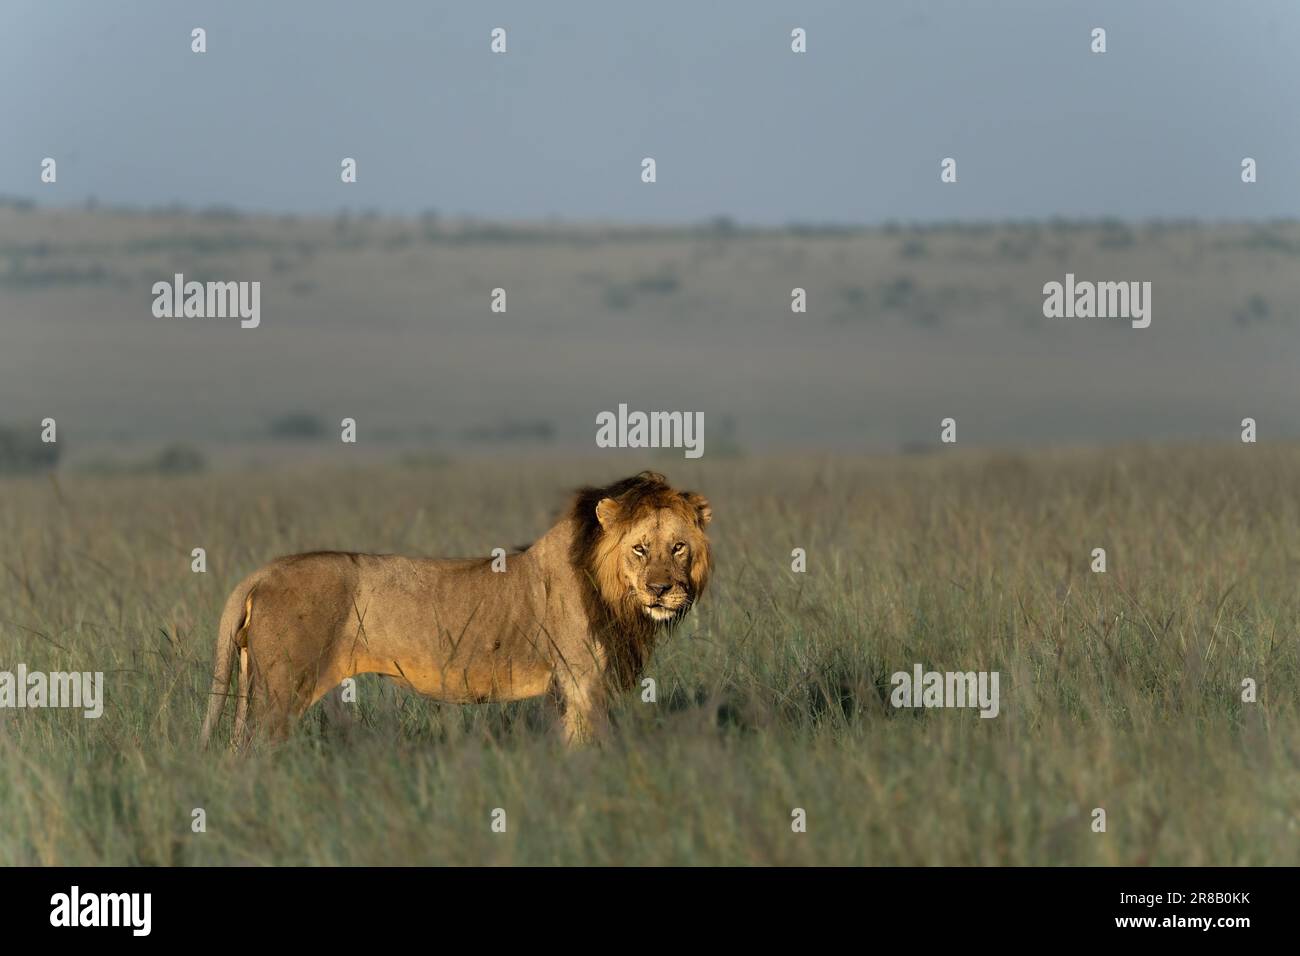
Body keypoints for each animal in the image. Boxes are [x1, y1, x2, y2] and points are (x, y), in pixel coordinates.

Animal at [199, 471, 712, 749]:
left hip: (253, 682)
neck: (615, 596)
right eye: (640, 549)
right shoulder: (583, 682)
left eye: (678, 547)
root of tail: (262, 572)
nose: (662, 590)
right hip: (283, 691)